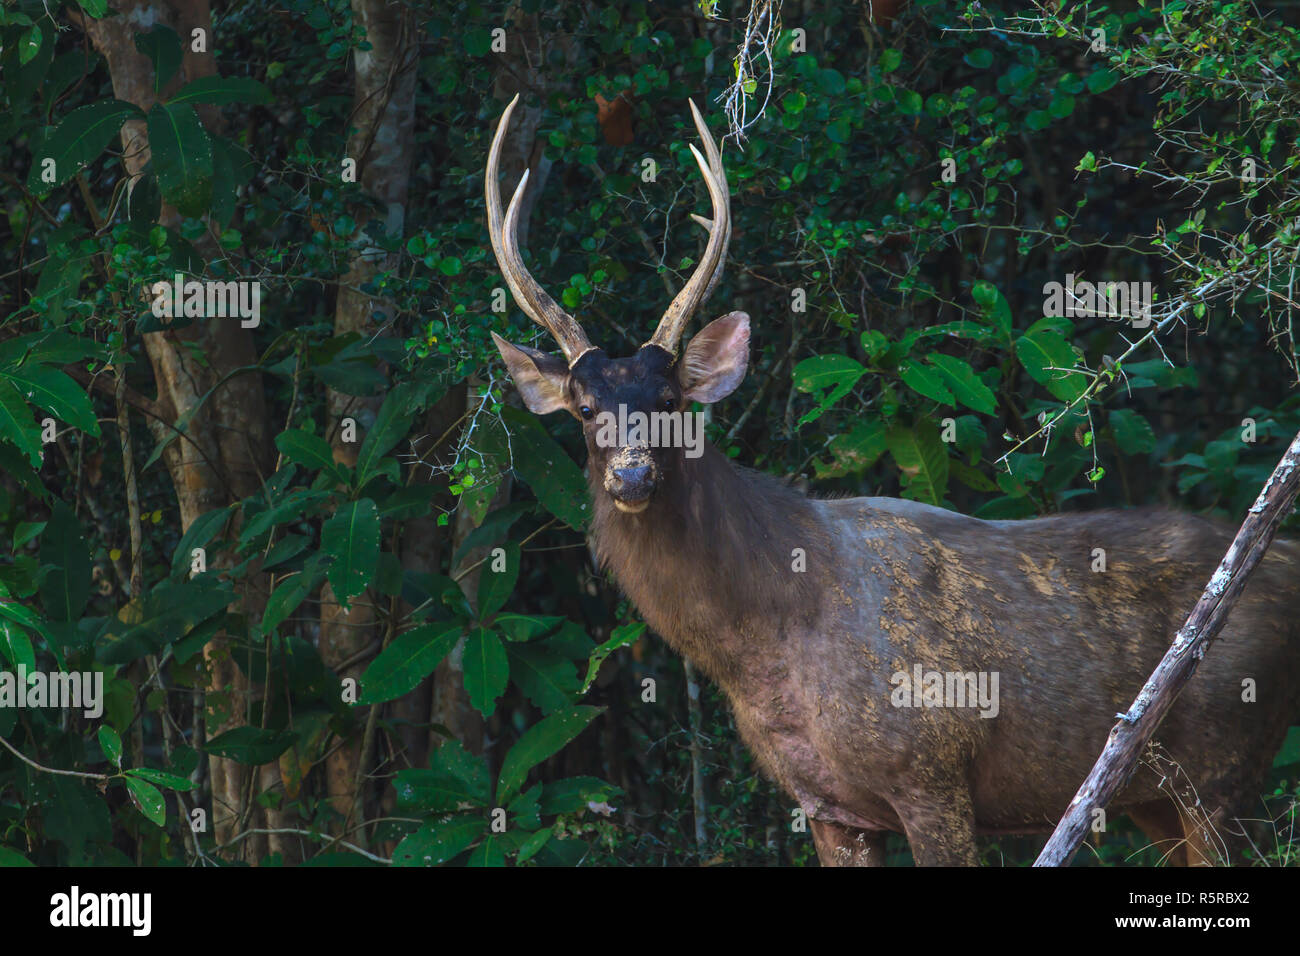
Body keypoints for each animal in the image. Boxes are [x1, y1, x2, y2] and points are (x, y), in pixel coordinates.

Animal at [485, 93, 1300, 866]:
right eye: (584, 408)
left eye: (669, 401)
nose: (631, 476)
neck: (764, 641)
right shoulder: (826, 804)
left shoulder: (931, 768)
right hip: (1154, 793)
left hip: (1226, 757)